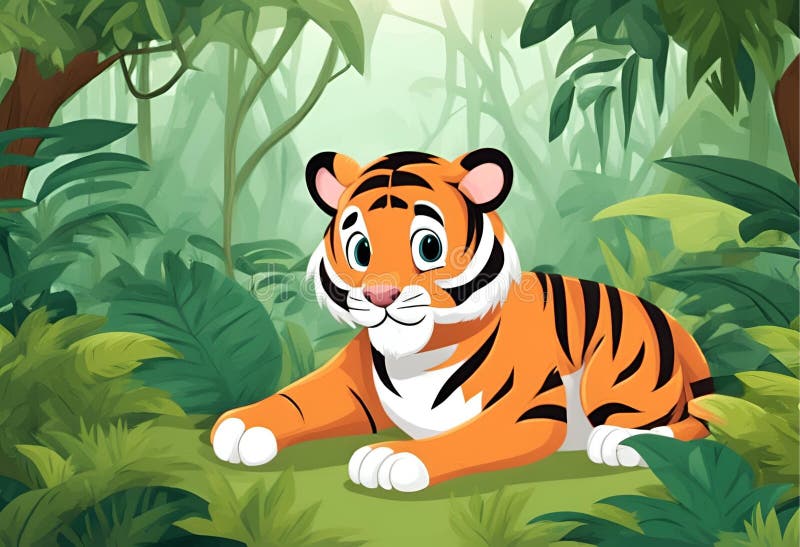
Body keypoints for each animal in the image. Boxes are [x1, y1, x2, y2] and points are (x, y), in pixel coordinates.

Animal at [210, 148, 714, 492]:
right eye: (360, 249)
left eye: (428, 246)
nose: (380, 294)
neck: (414, 354)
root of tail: (672, 322)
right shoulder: (350, 384)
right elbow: (295, 400)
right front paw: (242, 427)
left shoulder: (525, 414)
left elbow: (461, 440)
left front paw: (389, 456)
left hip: (616, 372)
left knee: (692, 425)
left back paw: (620, 442)